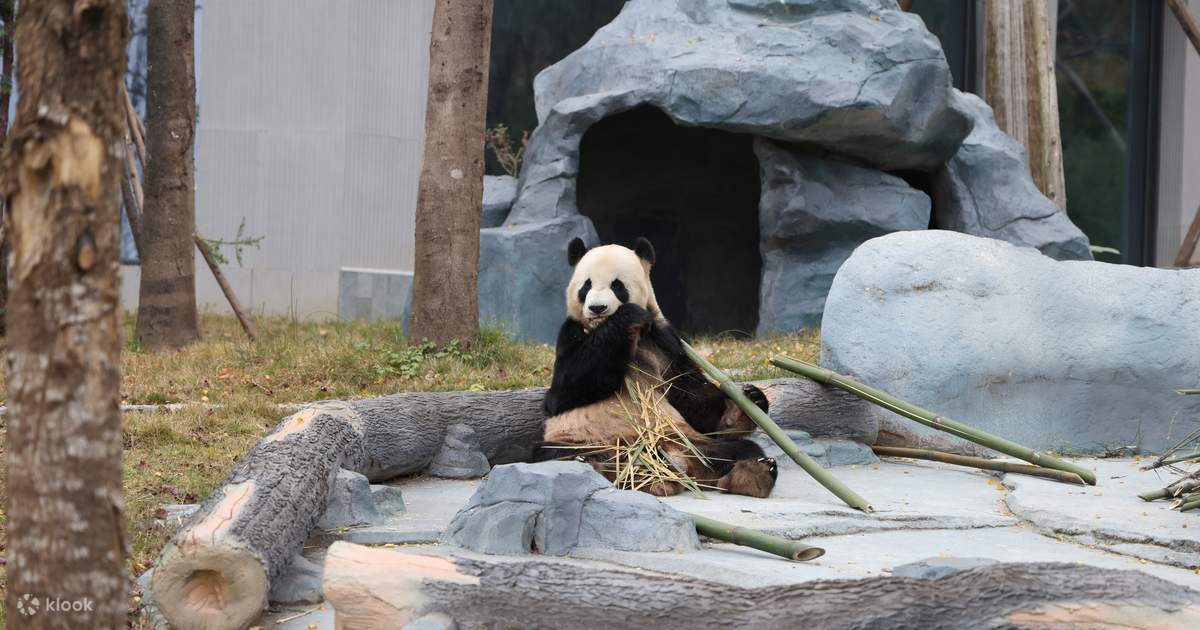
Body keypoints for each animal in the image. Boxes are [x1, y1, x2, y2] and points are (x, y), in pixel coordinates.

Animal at [538, 236, 778, 498]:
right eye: (586, 286)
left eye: (617, 286)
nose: (597, 308)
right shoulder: (571, 333)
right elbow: (563, 393)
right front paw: (627, 317)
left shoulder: (665, 342)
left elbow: (689, 393)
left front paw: (751, 400)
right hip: (584, 440)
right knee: (560, 454)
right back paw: (601, 467)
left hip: (687, 441)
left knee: (739, 450)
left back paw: (753, 475)